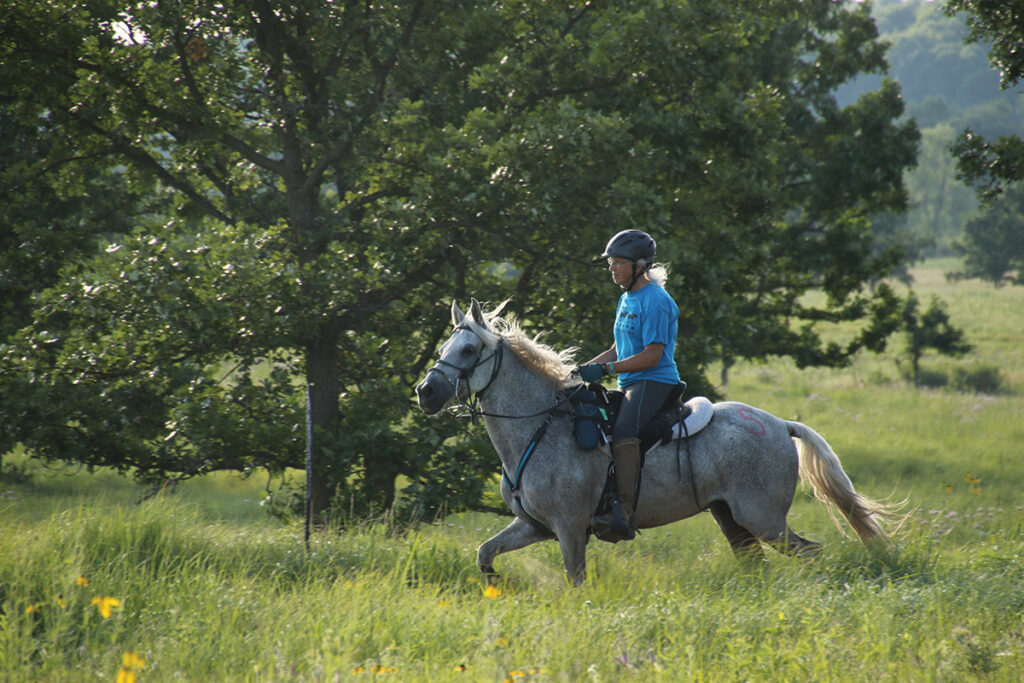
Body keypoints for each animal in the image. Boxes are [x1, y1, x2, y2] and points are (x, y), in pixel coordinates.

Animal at [415, 299, 900, 586]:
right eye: (445, 347)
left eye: (468, 351)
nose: (426, 392)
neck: (540, 427)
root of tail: (779, 424)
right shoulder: (533, 525)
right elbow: (485, 553)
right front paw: (493, 584)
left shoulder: (570, 528)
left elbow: (576, 580)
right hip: (729, 517)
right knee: (756, 563)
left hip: (762, 518)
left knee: (809, 553)